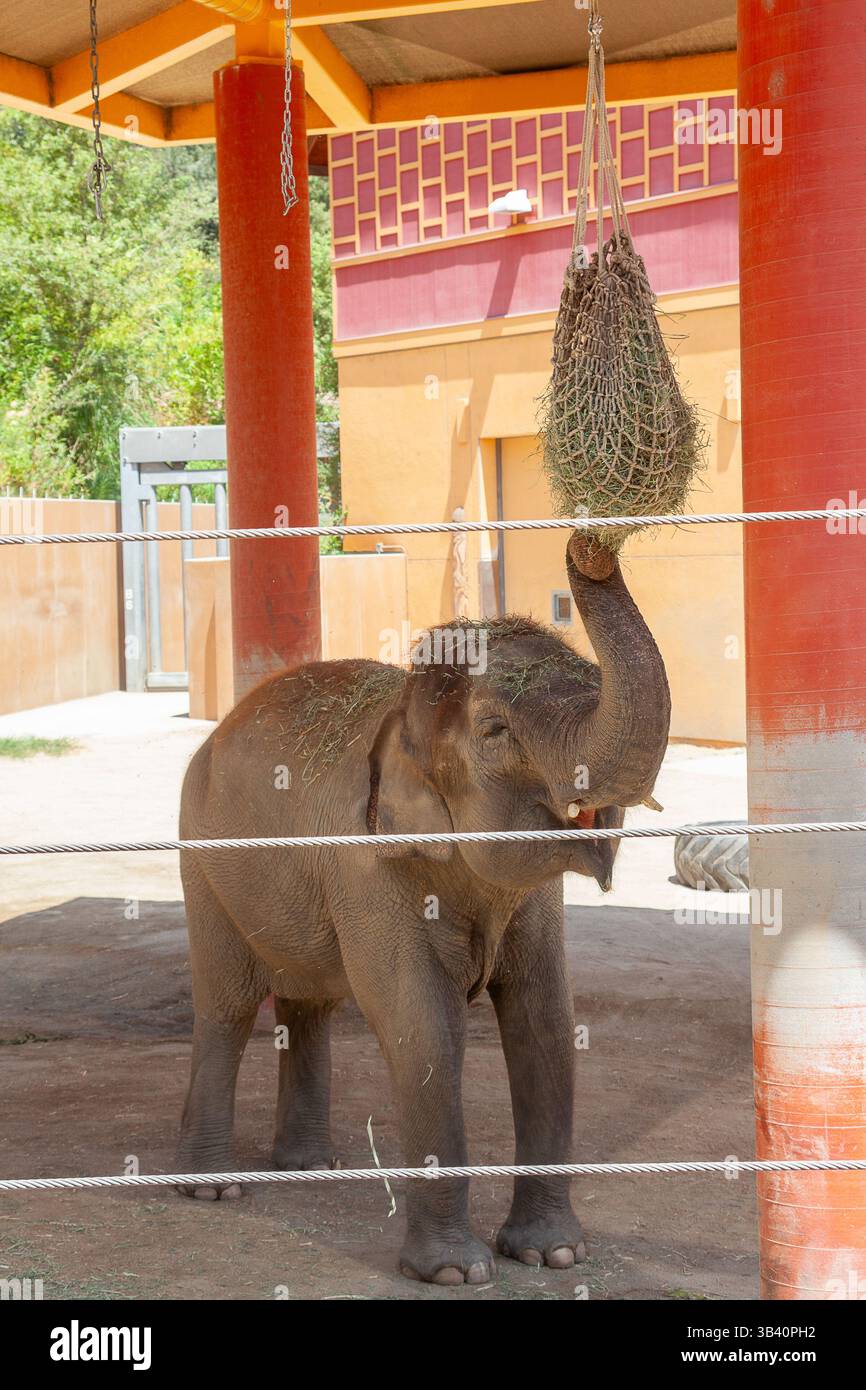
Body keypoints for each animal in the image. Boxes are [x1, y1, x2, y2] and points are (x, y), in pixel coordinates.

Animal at [175, 531, 670, 1285]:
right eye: (495, 731)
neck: (405, 716)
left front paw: (553, 1253)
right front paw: (454, 1273)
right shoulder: (368, 864)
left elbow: (547, 1021)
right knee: (228, 1005)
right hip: (204, 864)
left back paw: (311, 1168)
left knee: (307, 1003)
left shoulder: (529, 899)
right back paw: (212, 1188)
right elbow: (422, 1025)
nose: (591, 541)